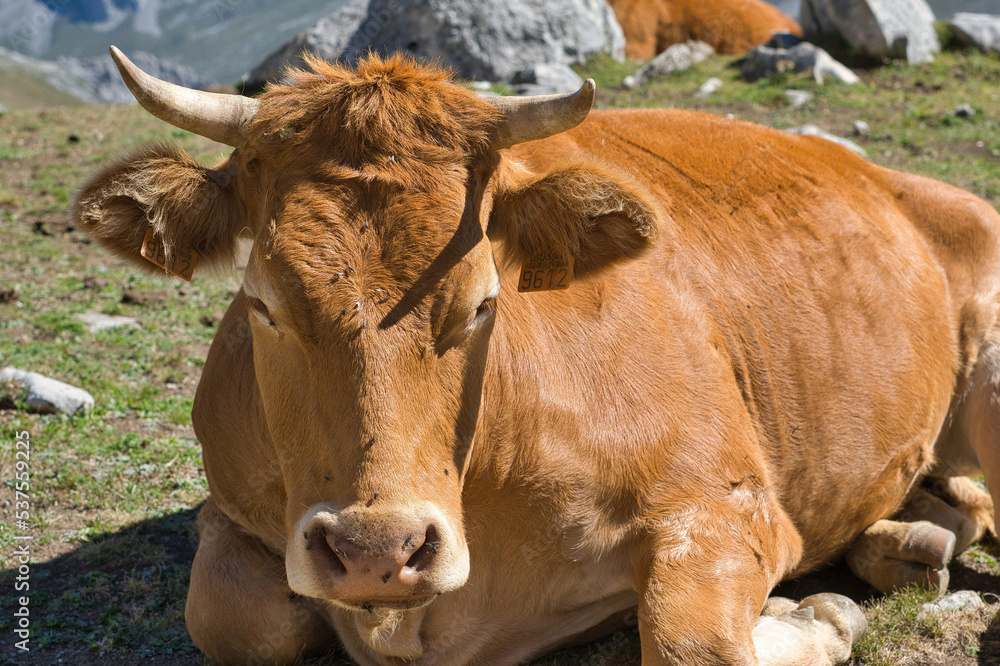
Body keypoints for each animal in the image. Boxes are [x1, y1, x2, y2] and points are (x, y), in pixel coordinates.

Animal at [74, 46, 1000, 665]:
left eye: (484, 300)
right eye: (262, 302)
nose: (378, 550)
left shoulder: (725, 502)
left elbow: (690, 642)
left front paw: (817, 619)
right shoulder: (227, 510)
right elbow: (235, 619)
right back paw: (910, 540)